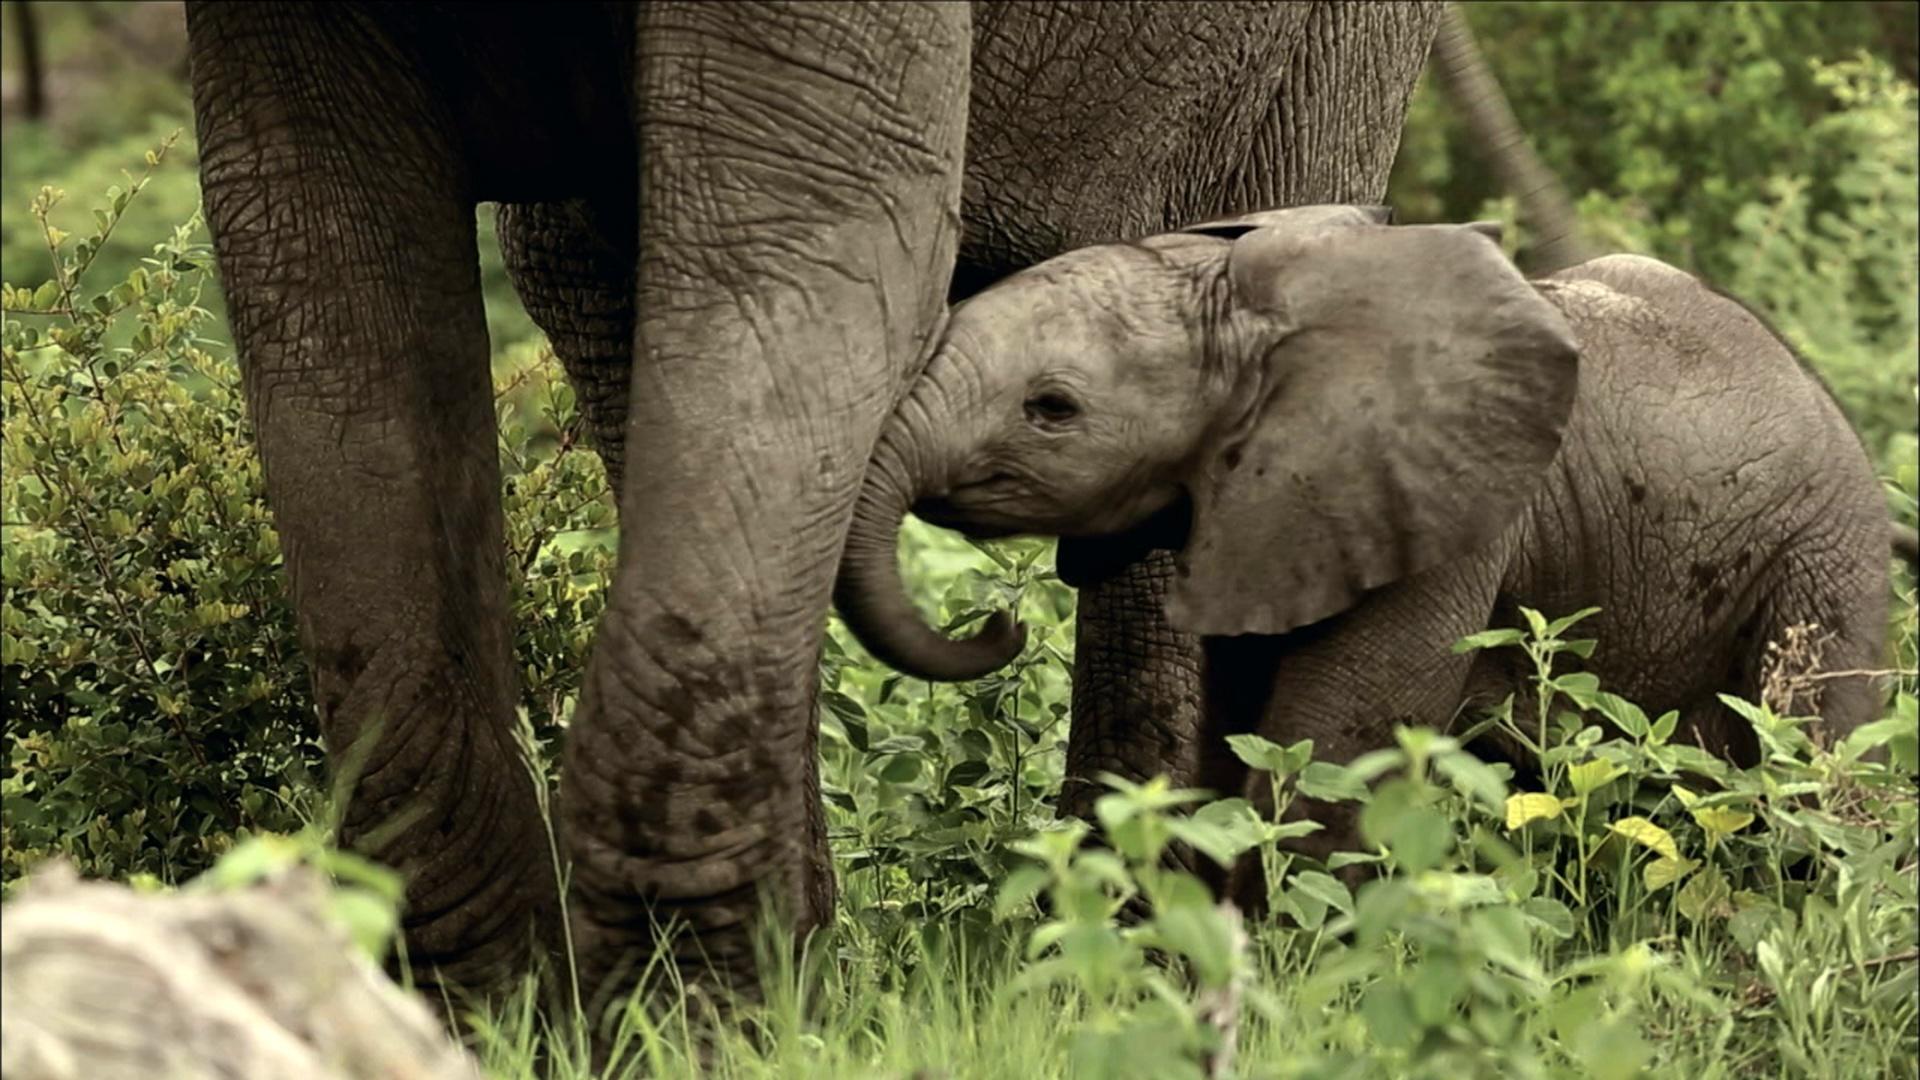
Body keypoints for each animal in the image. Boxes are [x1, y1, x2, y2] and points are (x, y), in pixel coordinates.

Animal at [183, 1, 1444, 1008]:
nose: (995, 622)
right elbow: (322, 279)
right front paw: (488, 1024)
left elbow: (801, 238)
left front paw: (687, 1037)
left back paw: (1141, 975)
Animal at [833, 205, 1896, 906]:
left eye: (1051, 409)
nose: (1001, 623)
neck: (1246, 298)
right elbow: (1239, 724)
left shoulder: (1453, 514)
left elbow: (1337, 737)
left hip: (1824, 558)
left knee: (1803, 772)